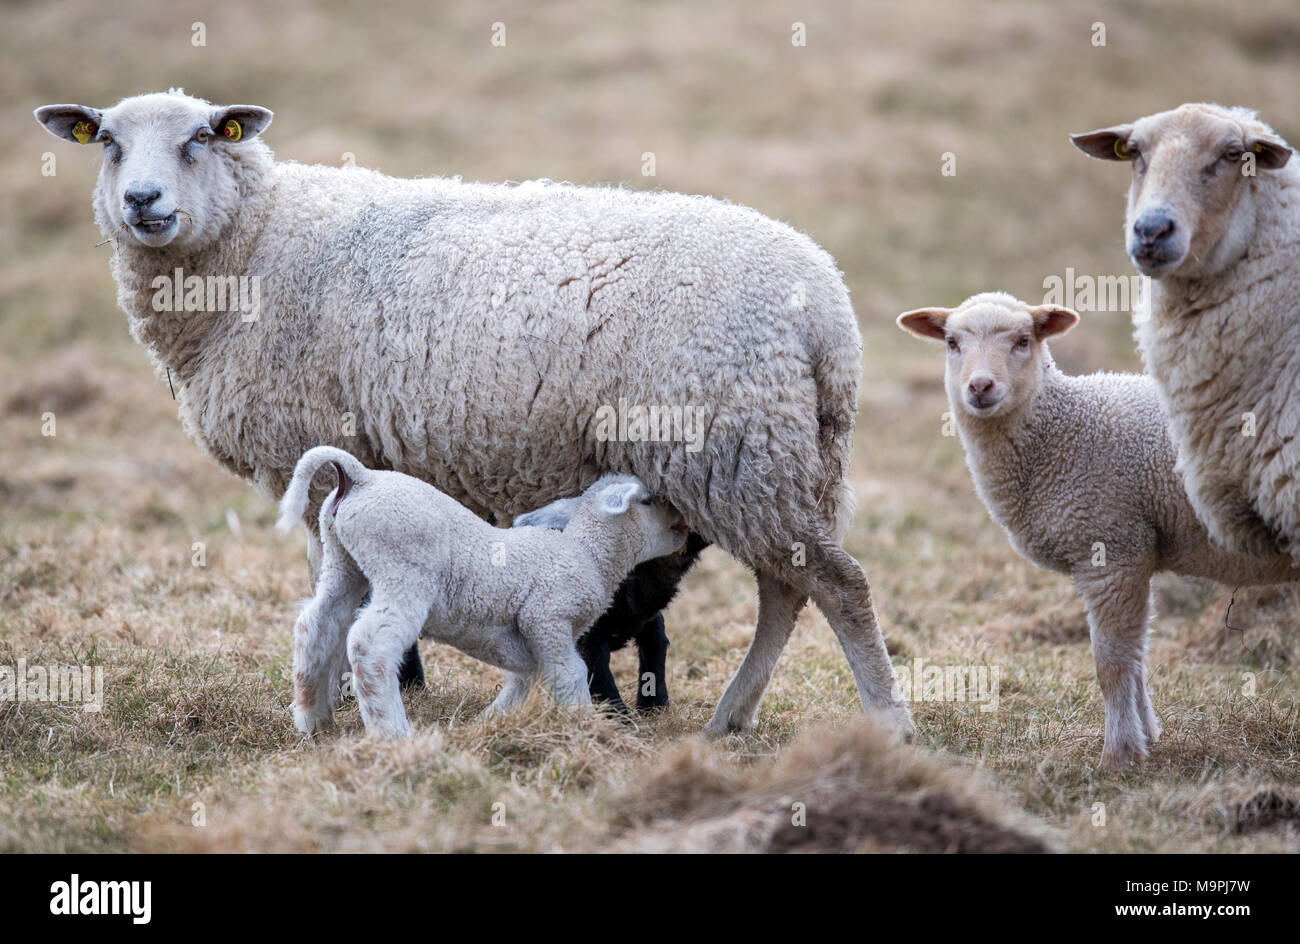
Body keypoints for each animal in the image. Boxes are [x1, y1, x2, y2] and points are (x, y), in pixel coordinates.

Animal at [277, 446, 688, 738]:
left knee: (316, 624)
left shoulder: (527, 646)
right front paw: (585, 726)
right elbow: (569, 672)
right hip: (404, 571)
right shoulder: (547, 617)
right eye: (648, 501)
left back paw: (313, 719)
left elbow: (523, 681)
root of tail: (361, 478)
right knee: (369, 643)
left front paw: (490, 723)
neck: (589, 553)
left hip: (342, 561)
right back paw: (392, 732)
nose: (683, 524)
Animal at [514, 497, 710, 712]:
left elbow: (656, 651)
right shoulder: (588, 637)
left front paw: (654, 707)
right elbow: (601, 677)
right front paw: (619, 716)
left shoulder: (649, 621)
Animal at [897, 292, 1299, 770]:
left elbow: (1112, 662)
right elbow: (1136, 656)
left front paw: (1119, 754)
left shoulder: (1110, 547)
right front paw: (1147, 736)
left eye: (1023, 340)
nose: (979, 387)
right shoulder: (1136, 549)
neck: (1062, 430)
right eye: (952, 342)